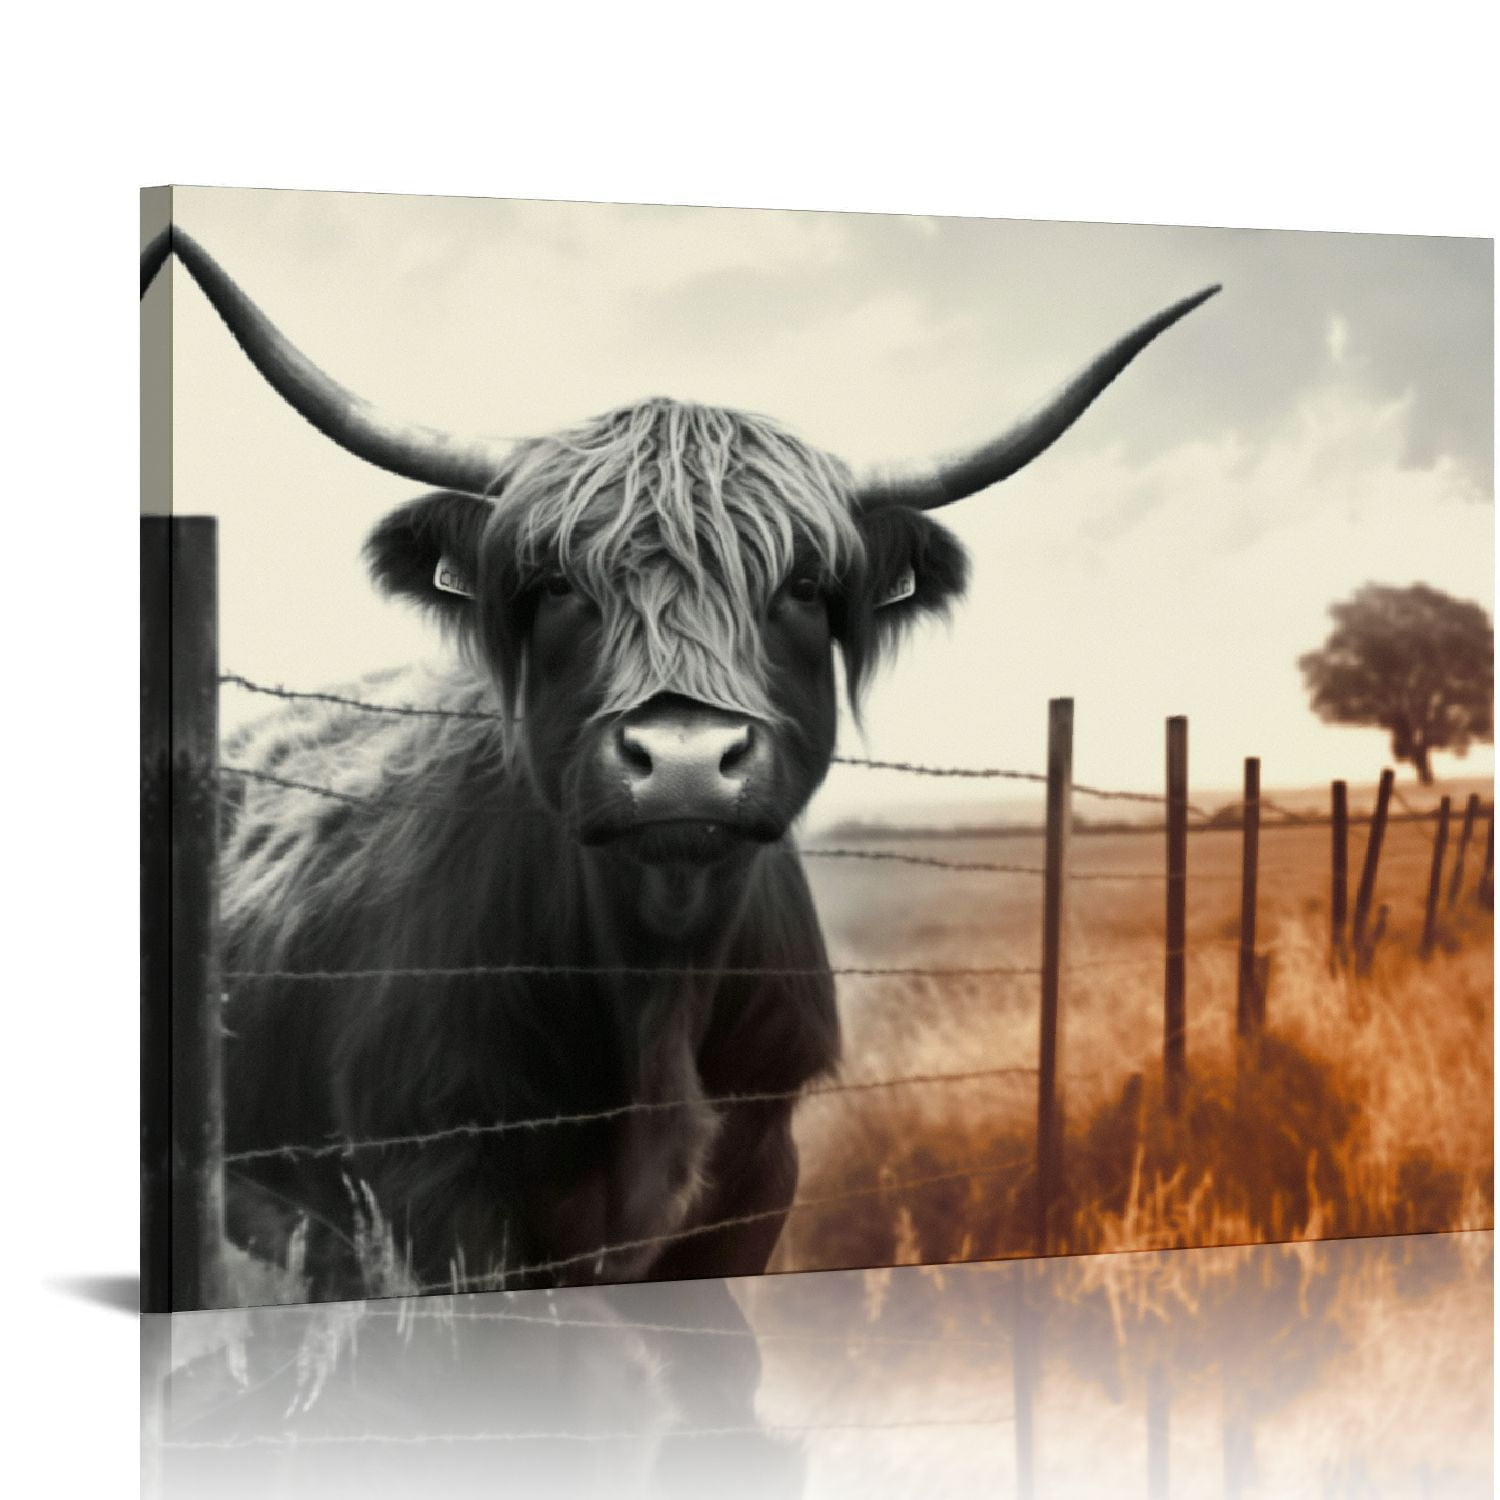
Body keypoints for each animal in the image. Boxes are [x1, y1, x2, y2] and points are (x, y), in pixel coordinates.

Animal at [143, 227, 1217, 1298]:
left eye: (804, 585)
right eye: (554, 585)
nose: (687, 760)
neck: (663, 969)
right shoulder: (432, 1202)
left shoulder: (757, 1173)